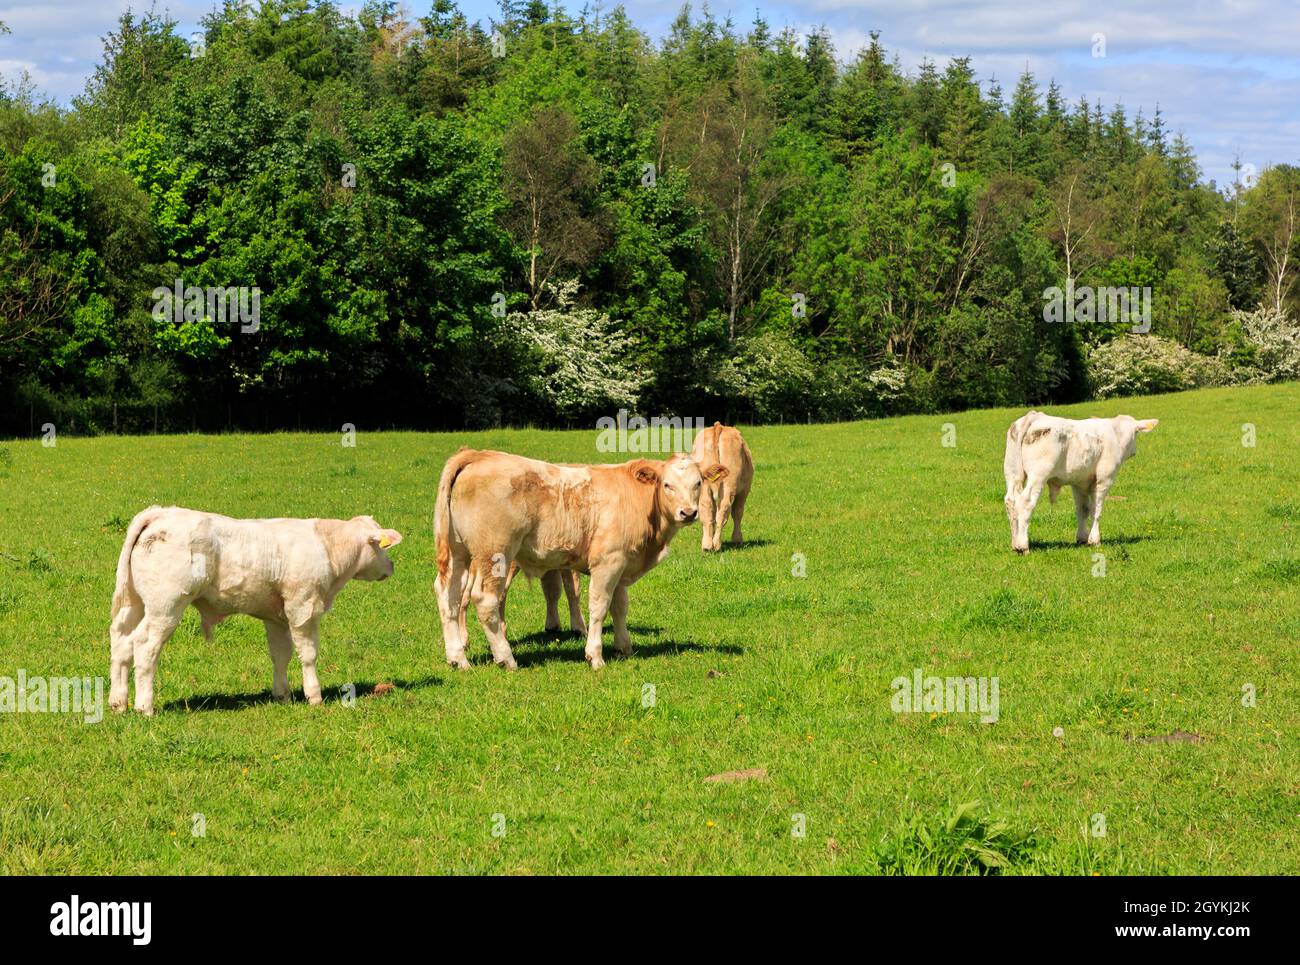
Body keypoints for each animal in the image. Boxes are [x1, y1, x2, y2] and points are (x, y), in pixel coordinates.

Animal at [109, 506, 402, 715]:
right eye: (381, 546)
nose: (391, 567)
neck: (326, 546)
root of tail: (161, 512)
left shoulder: (277, 617)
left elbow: (281, 655)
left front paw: (282, 695)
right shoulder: (303, 607)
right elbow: (308, 654)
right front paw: (314, 695)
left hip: (135, 604)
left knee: (121, 643)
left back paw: (118, 703)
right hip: (165, 608)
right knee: (144, 646)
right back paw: (144, 707)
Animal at [433, 449, 727, 670]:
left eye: (698, 483)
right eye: (667, 484)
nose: (688, 512)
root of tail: (478, 455)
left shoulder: (622, 563)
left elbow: (620, 607)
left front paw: (624, 646)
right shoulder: (607, 563)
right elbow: (599, 607)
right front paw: (595, 655)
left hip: (459, 553)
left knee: (449, 596)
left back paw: (457, 658)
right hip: (495, 553)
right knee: (484, 600)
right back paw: (505, 658)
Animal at [690, 422, 754, 551]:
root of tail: (718, 426)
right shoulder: (744, 491)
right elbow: (738, 512)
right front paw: (737, 539)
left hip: (703, 485)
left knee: (706, 508)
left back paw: (707, 545)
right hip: (730, 485)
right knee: (724, 509)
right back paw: (717, 544)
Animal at [1003, 412, 1158, 553]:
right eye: (1136, 433)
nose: (1133, 451)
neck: (1116, 433)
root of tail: (1034, 415)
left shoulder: (1079, 482)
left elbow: (1082, 509)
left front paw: (1082, 538)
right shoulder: (1104, 479)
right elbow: (1096, 510)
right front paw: (1094, 540)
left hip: (1012, 473)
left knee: (1011, 501)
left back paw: (1014, 543)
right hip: (1038, 475)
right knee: (1026, 501)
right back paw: (1023, 546)